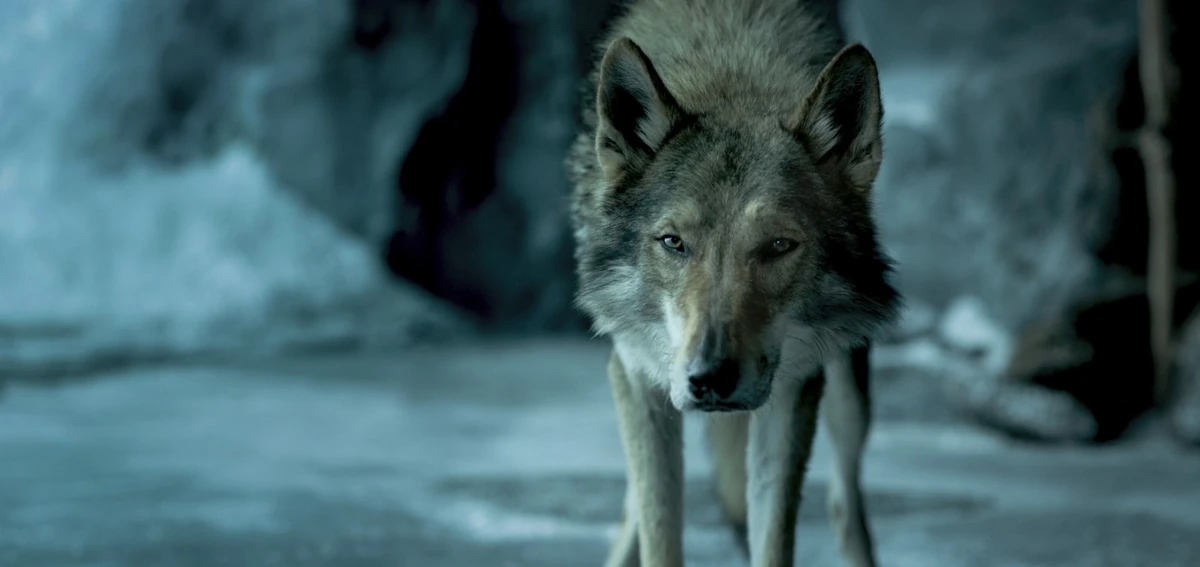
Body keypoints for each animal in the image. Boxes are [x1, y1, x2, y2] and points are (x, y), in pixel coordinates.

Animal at [566, 0, 901, 566]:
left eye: (779, 246)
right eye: (674, 242)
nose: (711, 378)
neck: (732, 78)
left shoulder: (795, 386)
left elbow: (772, 540)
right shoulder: (636, 370)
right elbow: (659, 530)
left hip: (848, 390)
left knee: (844, 504)